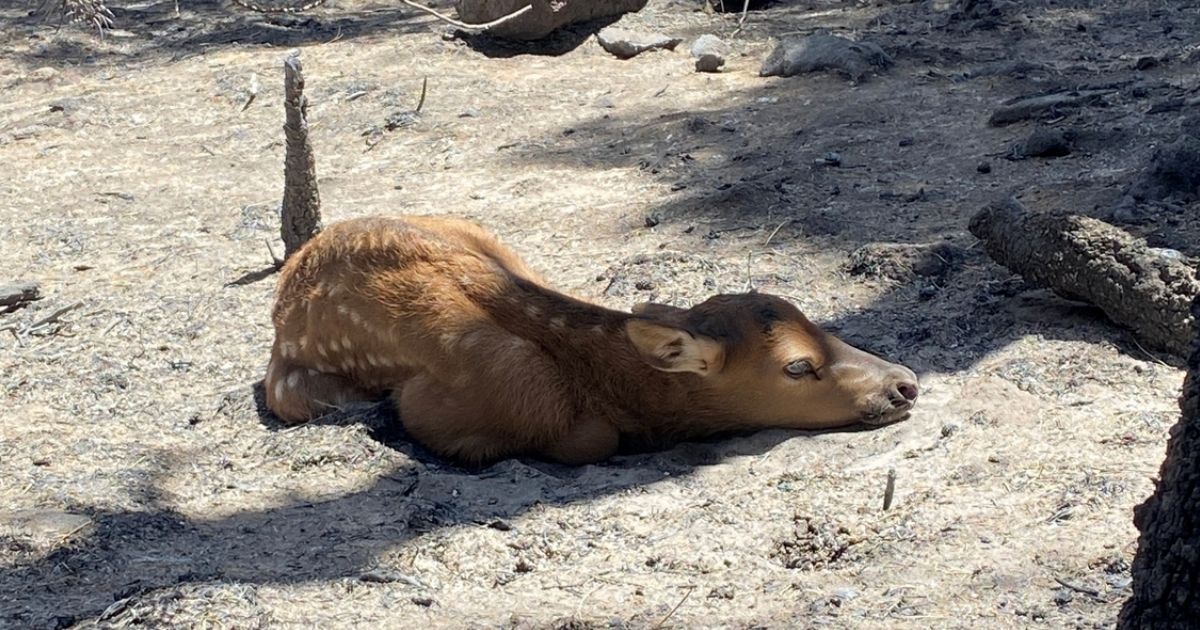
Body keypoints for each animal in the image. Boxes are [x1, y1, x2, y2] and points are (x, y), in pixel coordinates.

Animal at [263, 215, 920, 466]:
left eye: (820, 322)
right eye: (797, 367)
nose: (906, 383)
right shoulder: (447, 405)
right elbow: (589, 440)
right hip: (293, 389)